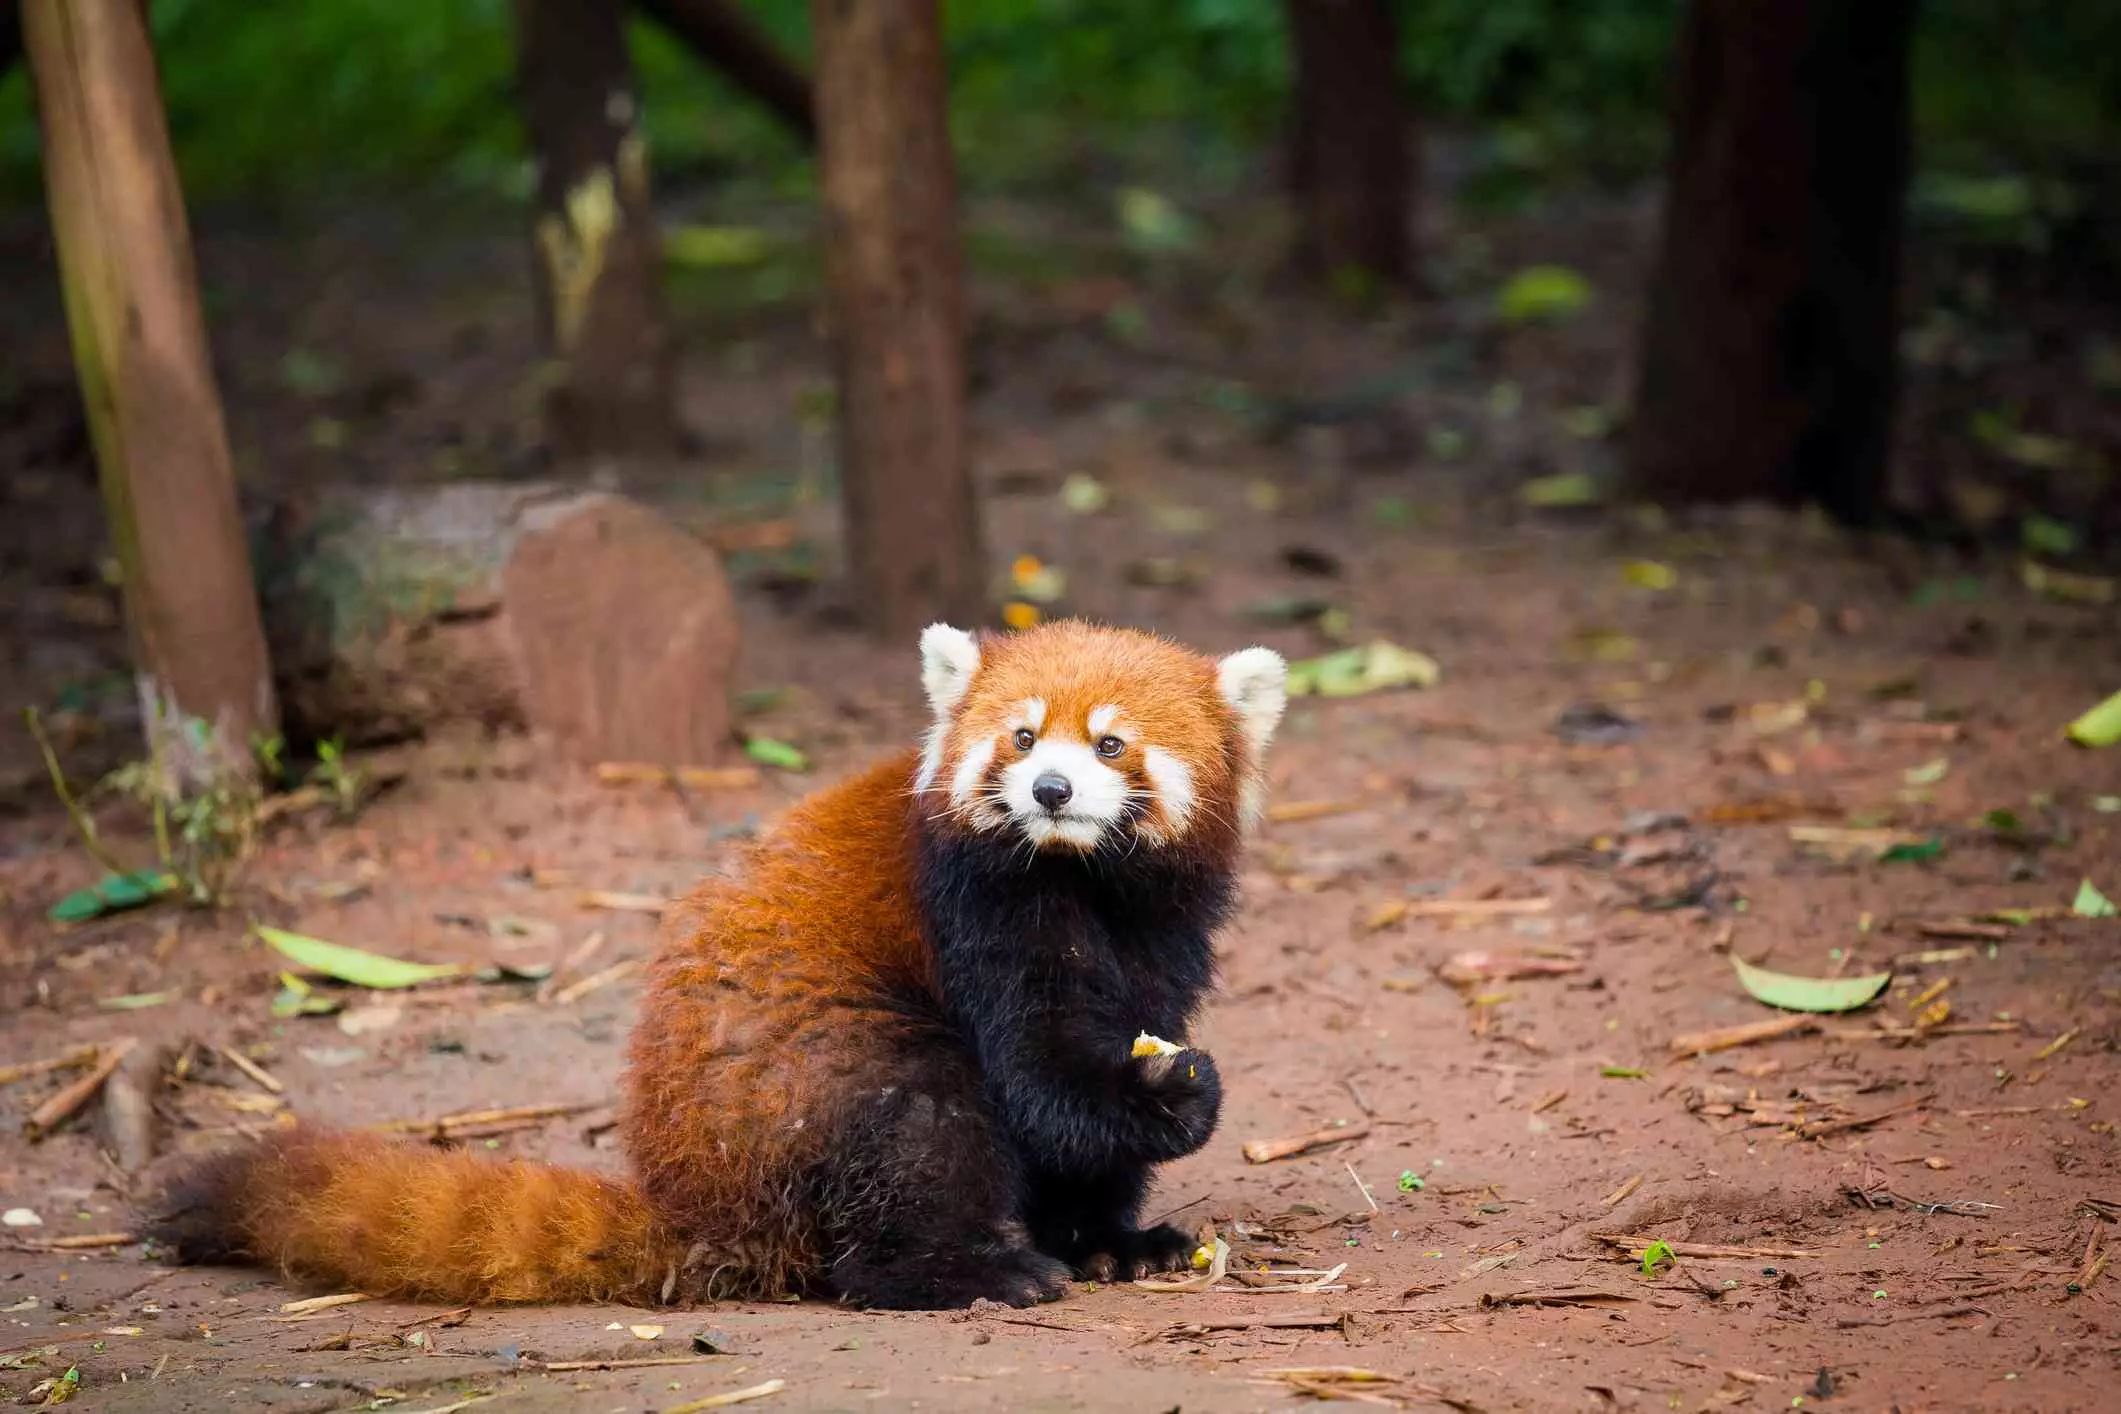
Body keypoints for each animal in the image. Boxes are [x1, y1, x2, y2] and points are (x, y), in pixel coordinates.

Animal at [149, 623, 1281, 1314]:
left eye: (1111, 743)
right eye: (1019, 734)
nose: (1048, 790)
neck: (1086, 879)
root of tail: (700, 1204)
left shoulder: (1163, 930)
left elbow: (1097, 1087)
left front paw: (1110, 1234)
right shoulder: (978, 905)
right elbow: (1041, 1070)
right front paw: (1171, 1097)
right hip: (818, 1077)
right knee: (920, 1121)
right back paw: (973, 1268)